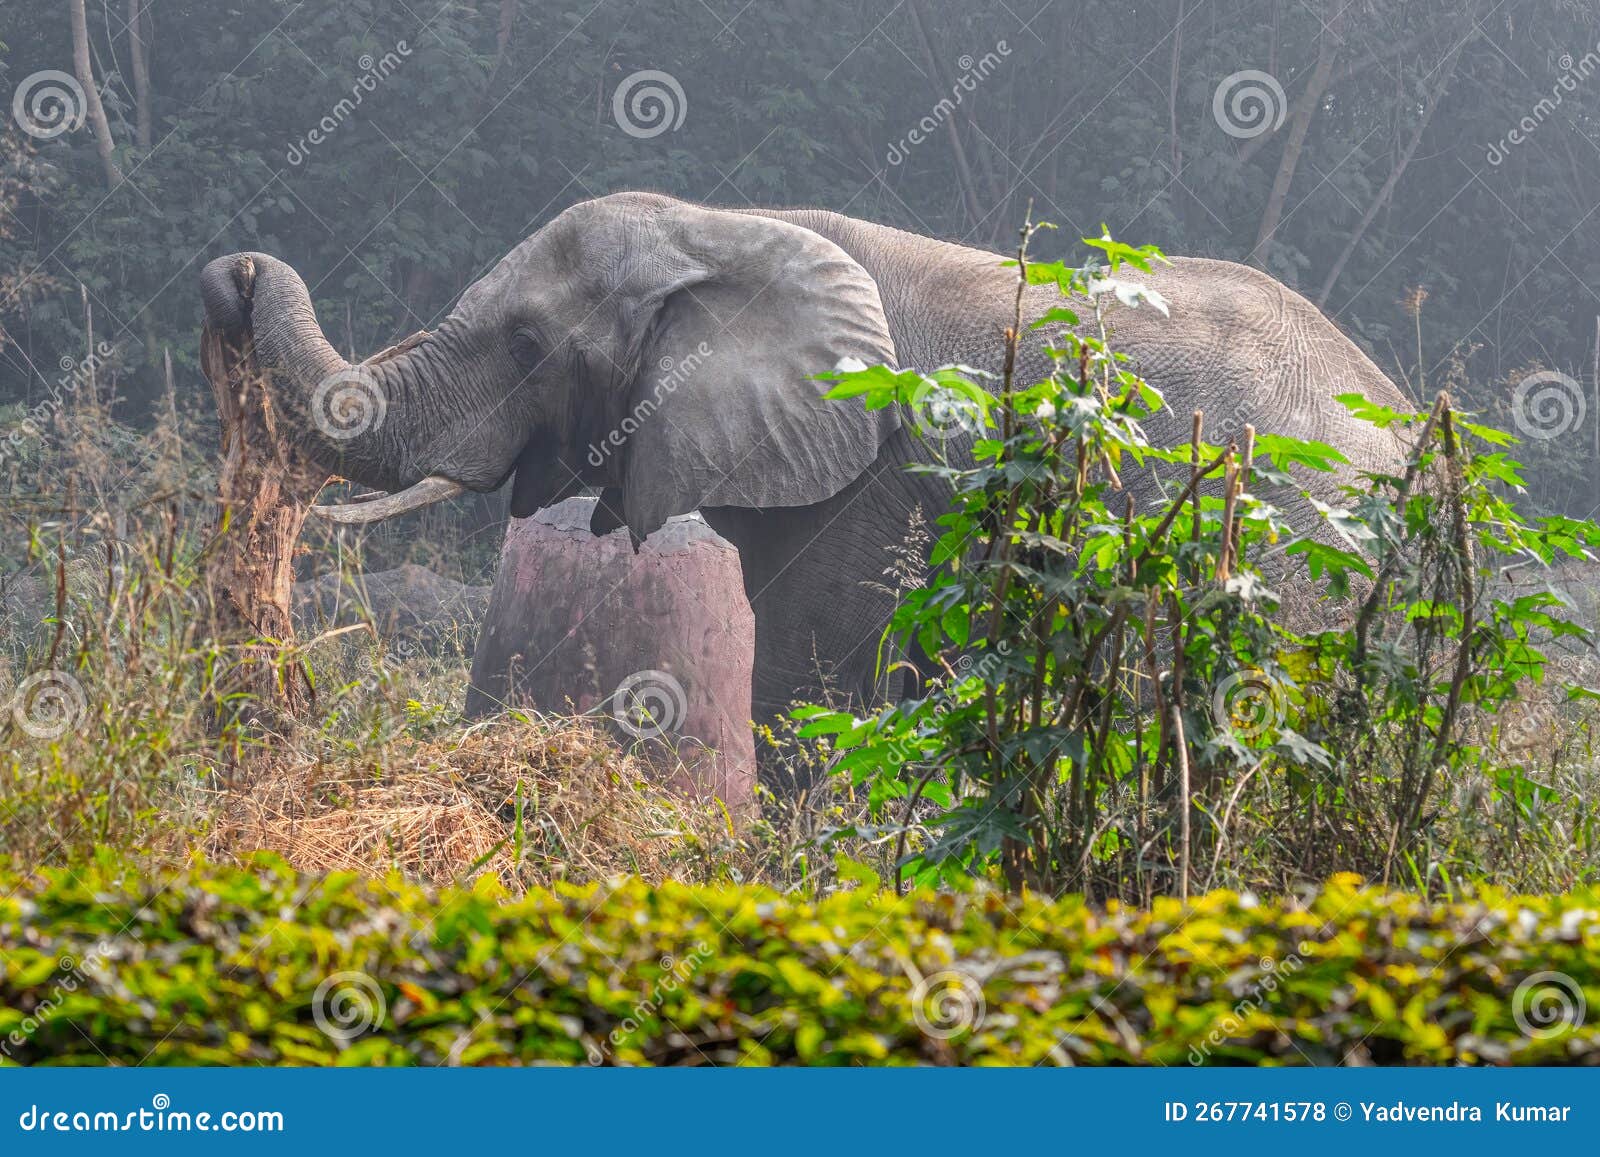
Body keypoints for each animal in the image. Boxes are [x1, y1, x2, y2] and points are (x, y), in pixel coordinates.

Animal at [199, 191, 1412, 763]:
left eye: (531, 343)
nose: (233, 273)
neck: (730, 228)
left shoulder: (872, 484)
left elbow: (815, 695)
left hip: (1287, 577)